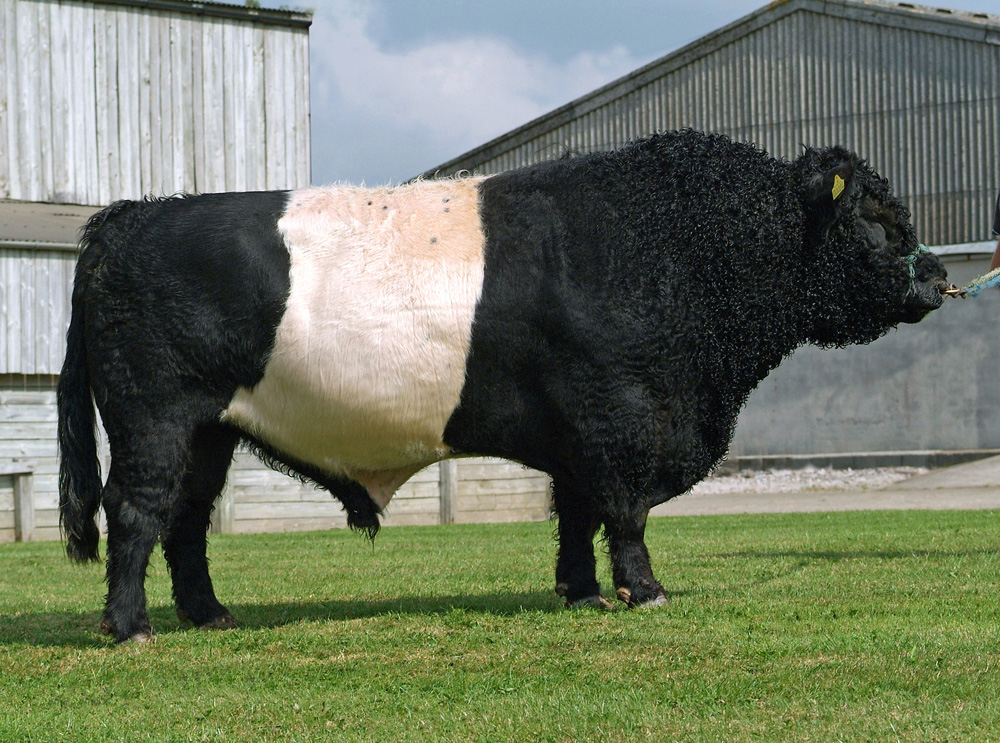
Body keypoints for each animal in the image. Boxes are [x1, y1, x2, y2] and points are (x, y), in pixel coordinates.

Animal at [58, 129, 948, 643]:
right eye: (876, 216)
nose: (938, 277)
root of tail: (127, 217)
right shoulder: (623, 414)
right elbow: (623, 512)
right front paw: (644, 590)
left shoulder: (581, 431)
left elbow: (576, 513)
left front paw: (582, 594)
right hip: (154, 415)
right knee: (135, 508)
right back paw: (130, 627)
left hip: (209, 428)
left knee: (185, 518)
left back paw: (208, 615)